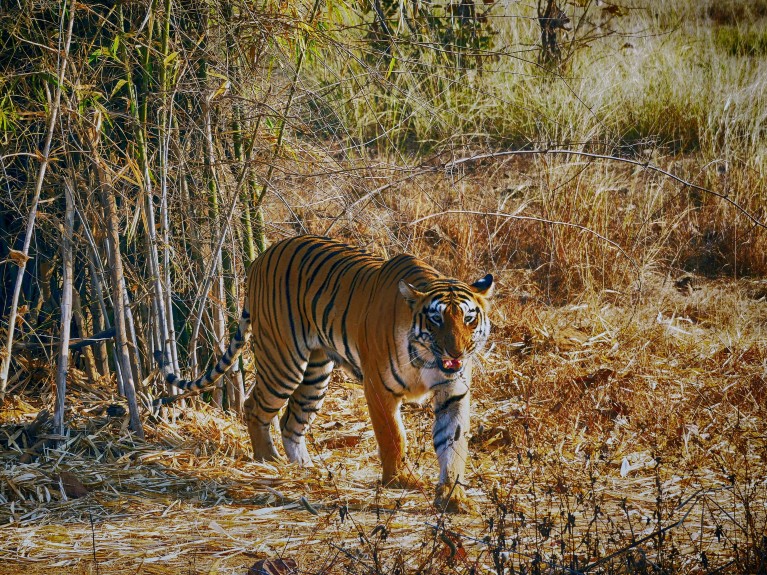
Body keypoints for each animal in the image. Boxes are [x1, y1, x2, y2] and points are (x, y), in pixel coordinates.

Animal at [156, 235, 493, 512]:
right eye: (436, 319)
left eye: (469, 319)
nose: (456, 353)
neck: (426, 357)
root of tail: (260, 258)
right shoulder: (379, 388)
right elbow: (393, 436)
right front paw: (401, 479)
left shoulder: (452, 393)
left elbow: (453, 443)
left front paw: (453, 496)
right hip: (283, 363)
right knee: (254, 407)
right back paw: (269, 460)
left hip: (315, 374)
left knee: (290, 421)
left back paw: (304, 468)